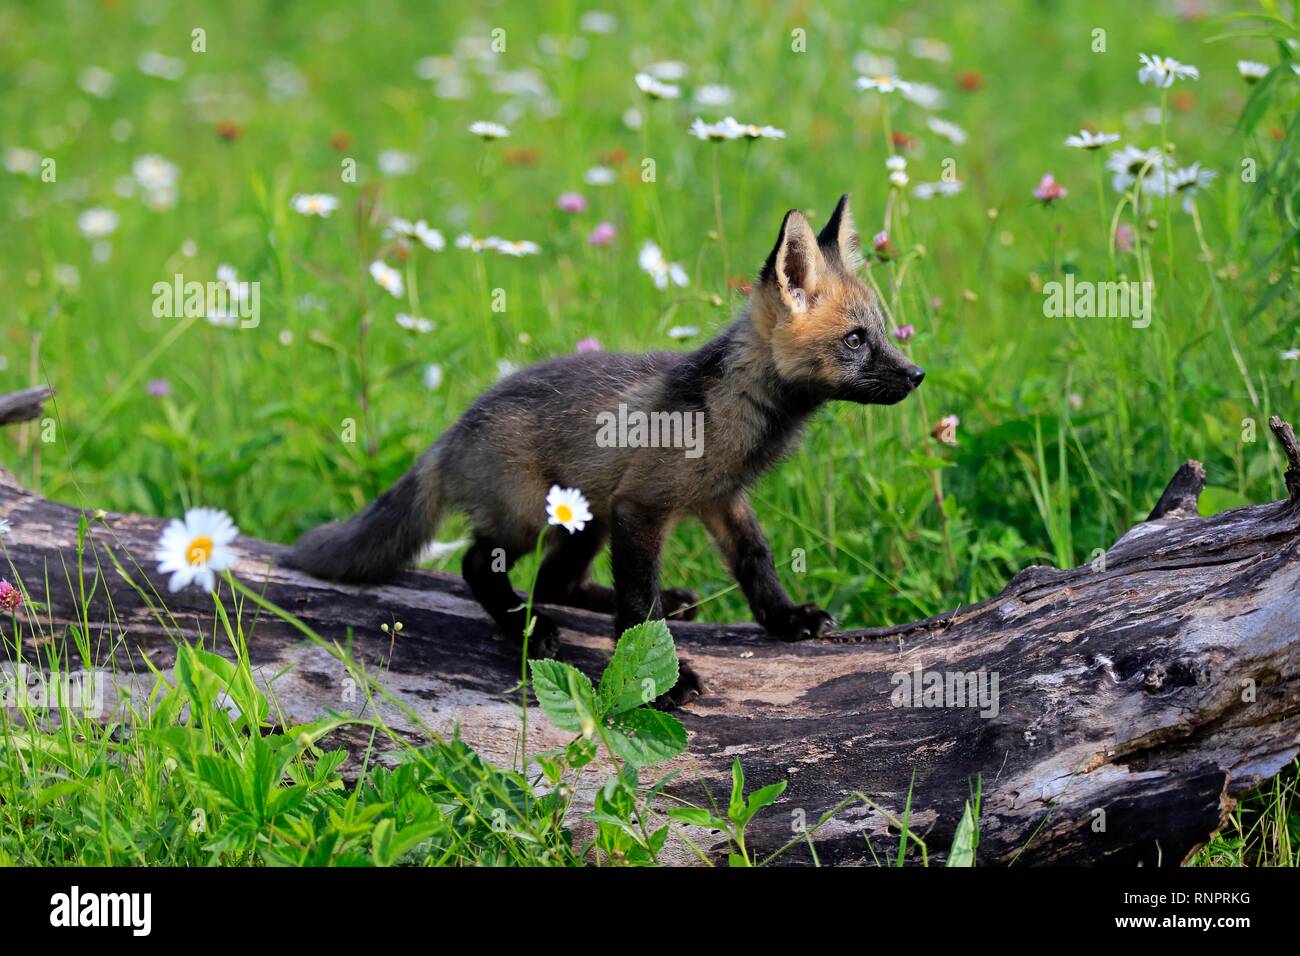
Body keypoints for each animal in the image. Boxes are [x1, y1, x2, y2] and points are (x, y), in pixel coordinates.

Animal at [287, 195, 925, 705]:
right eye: (855, 340)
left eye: (882, 333)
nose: (917, 375)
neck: (731, 412)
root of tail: (454, 429)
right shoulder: (641, 507)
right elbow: (638, 607)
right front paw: (664, 682)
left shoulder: (721, 500)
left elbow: (756, 562)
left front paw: (787, 619)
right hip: (532, 519)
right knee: (480, 566)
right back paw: (528, 627)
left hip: (584, 523)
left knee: (555, 583)